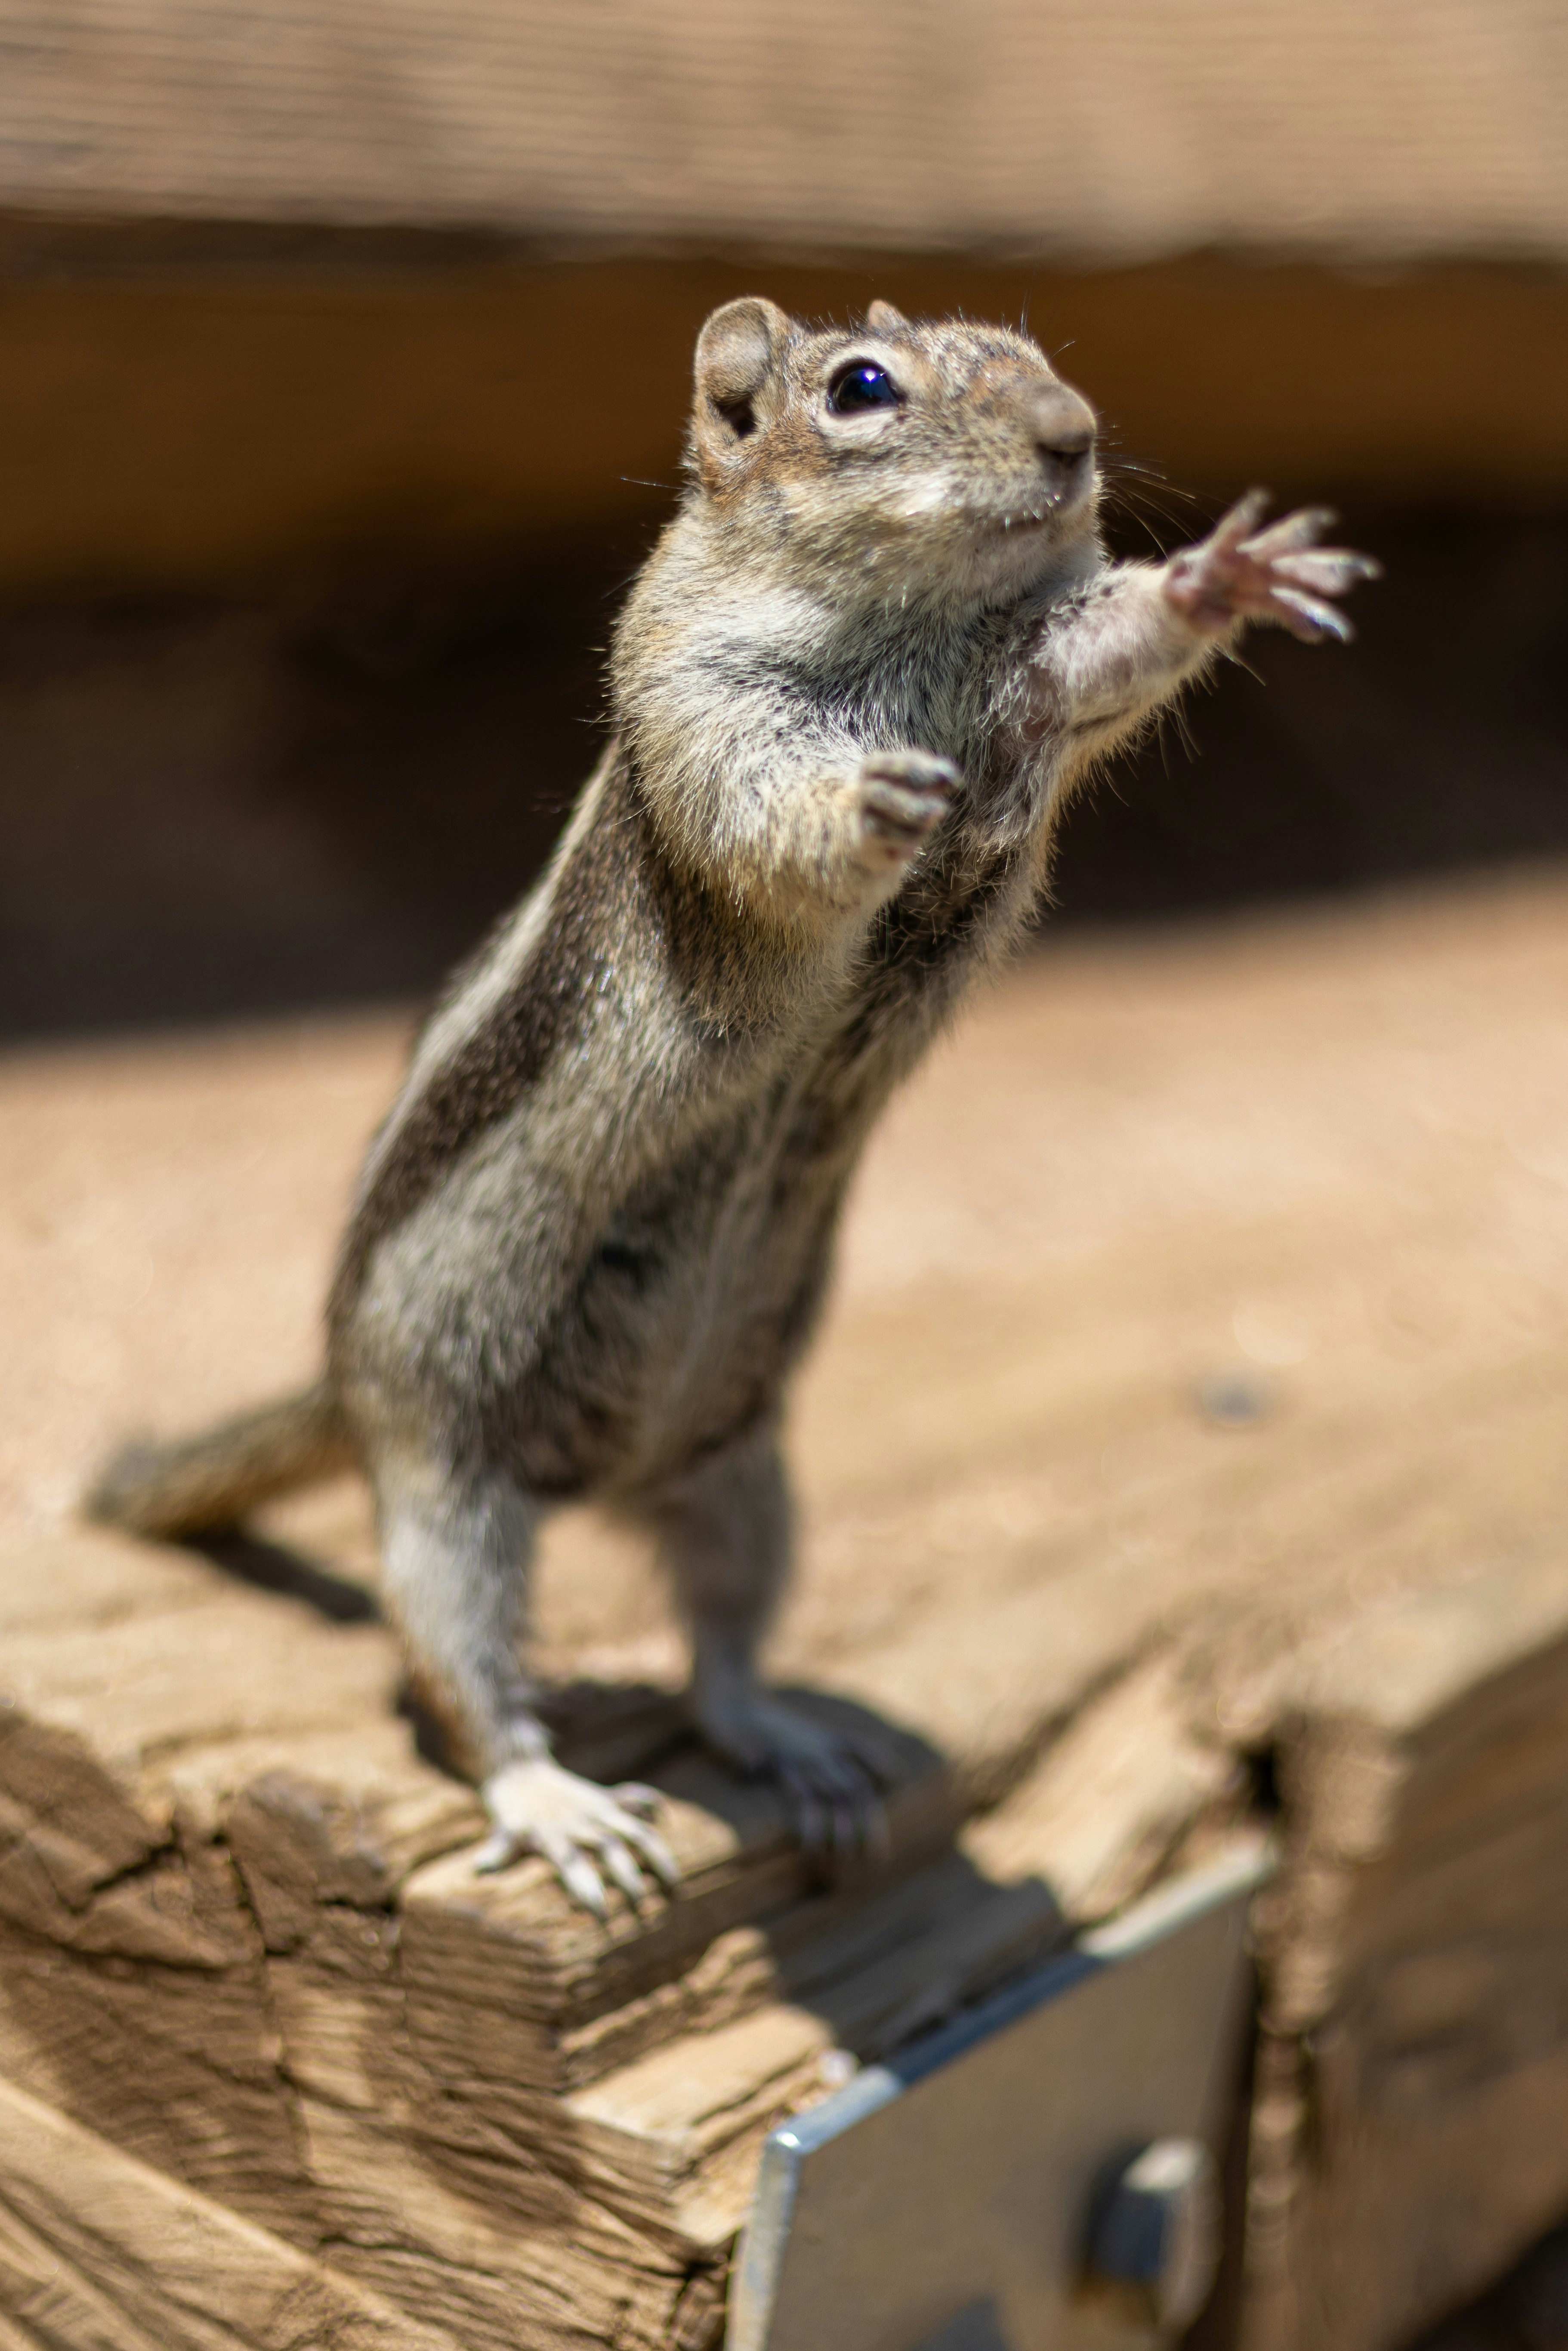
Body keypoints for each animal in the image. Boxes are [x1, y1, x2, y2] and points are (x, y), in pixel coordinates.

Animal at [87, 297, 1377, 1914]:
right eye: (861, 388)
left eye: (1032, 349)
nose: (1072, 435)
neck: (913, 629)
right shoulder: (695, 697)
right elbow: (767, 820)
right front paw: (870, 806)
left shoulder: (1035, 677)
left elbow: (1116, 646)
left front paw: (1227, 575)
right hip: (443, 1469)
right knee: (460, 1669)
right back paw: (554, 1799)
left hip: (740, 1476)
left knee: (715, 1651)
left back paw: (786, 1741)